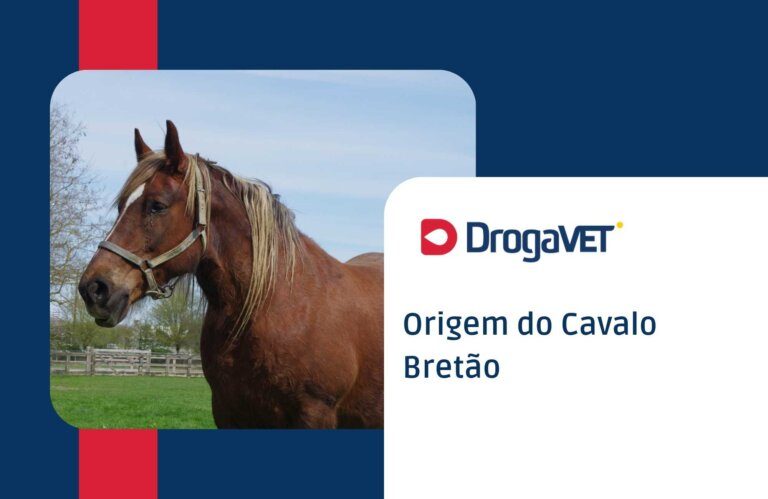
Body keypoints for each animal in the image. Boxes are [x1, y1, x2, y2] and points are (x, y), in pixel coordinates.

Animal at [78, 121, 383, 429]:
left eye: (157, 205)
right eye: (121, 206)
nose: (94, 288)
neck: (276, 304)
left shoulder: (315, 413)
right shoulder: (228, 410)